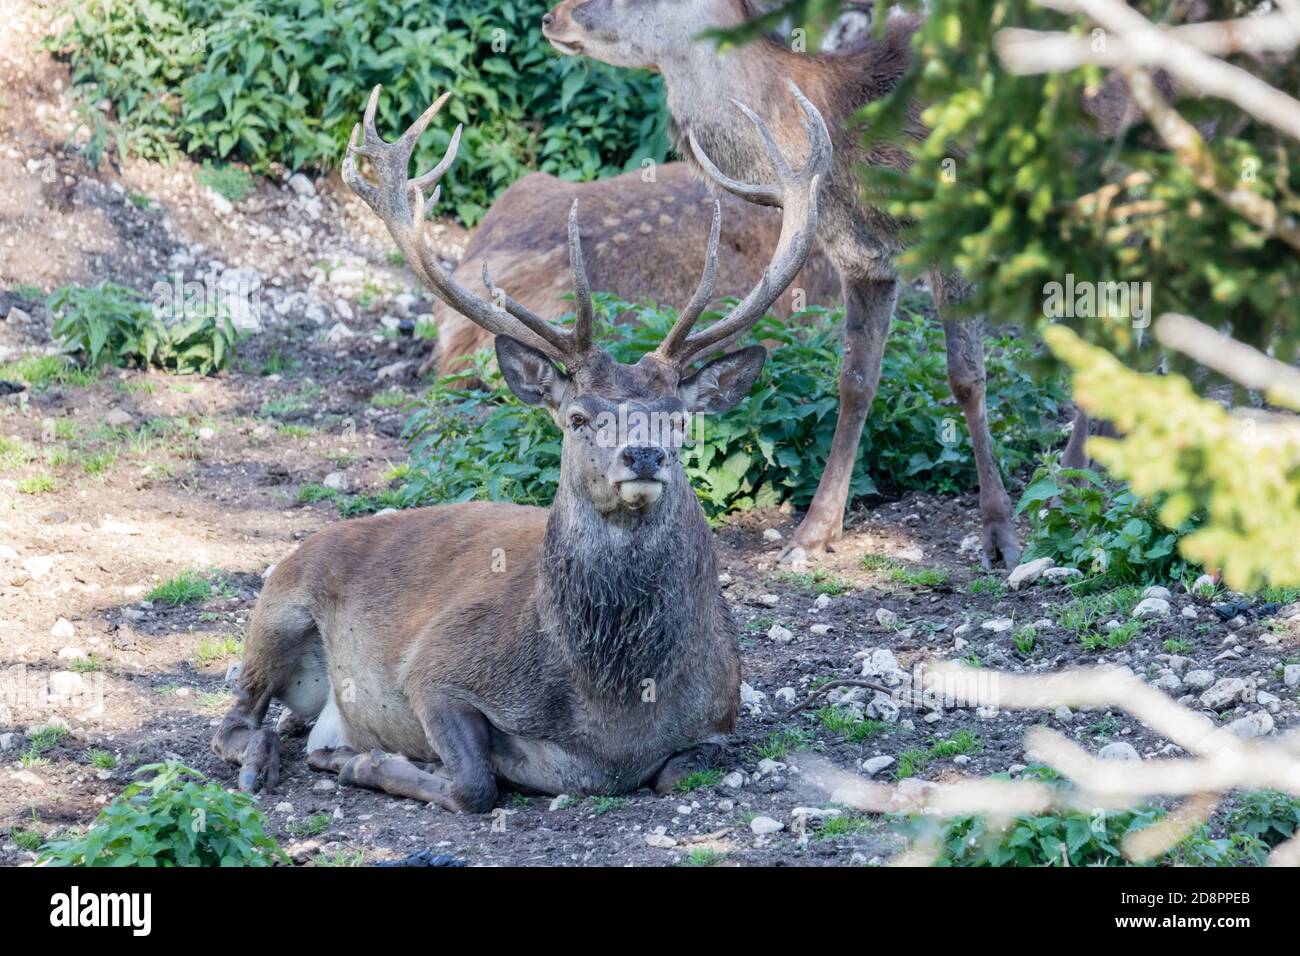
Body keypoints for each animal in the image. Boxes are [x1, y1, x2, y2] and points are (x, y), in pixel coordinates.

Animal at [543, 0, 1025, 568]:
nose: (553, 17)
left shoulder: (959, 232)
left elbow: (966, 376)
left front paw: (1001, 532)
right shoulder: (863, 258)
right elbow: (855, 382)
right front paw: (812, 533)